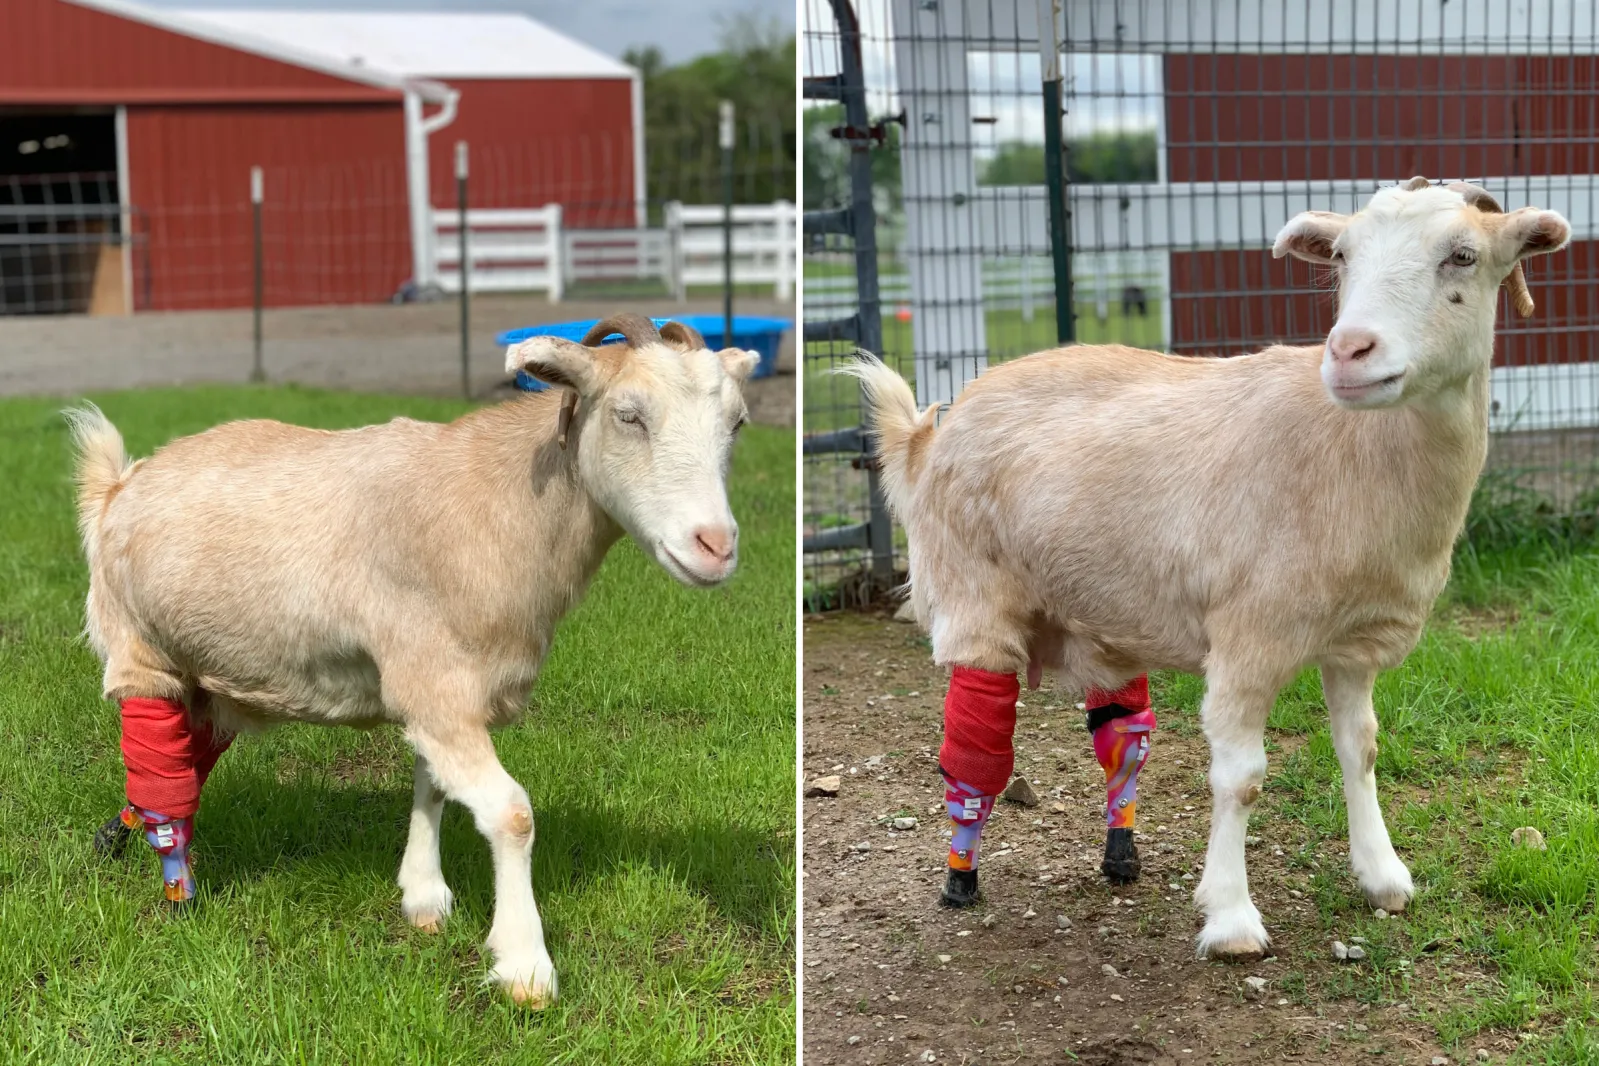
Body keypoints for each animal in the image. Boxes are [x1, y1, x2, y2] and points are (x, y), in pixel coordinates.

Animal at [69, 314, 759, 1005]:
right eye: (628, 415)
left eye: (738, 423)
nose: (717, 546)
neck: (506, 504)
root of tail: (117, 484)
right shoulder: (434, 678)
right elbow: (512, 815)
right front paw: (524, 965)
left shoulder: (444, 689)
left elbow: (433, 786)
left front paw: (424, 897)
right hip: (141, 647)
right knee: (162, 771)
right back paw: (176, 887)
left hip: (214, 672)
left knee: (186, 758)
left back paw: (127, 832)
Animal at [844, 179, 1569, 958]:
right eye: (1342, 257)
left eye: (1462, 256)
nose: (1349, 351)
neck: (1354, 450)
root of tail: (928, 431)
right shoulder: (1249, 638)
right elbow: (1241, 779)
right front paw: (1229, 917)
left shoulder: (1356, 644)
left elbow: (1362, 749)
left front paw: (1382, 876)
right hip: (973, 593)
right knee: (974, 750)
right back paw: (961, 876)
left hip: (1102, 603)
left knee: (1119, 735)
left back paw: (1120, 854)